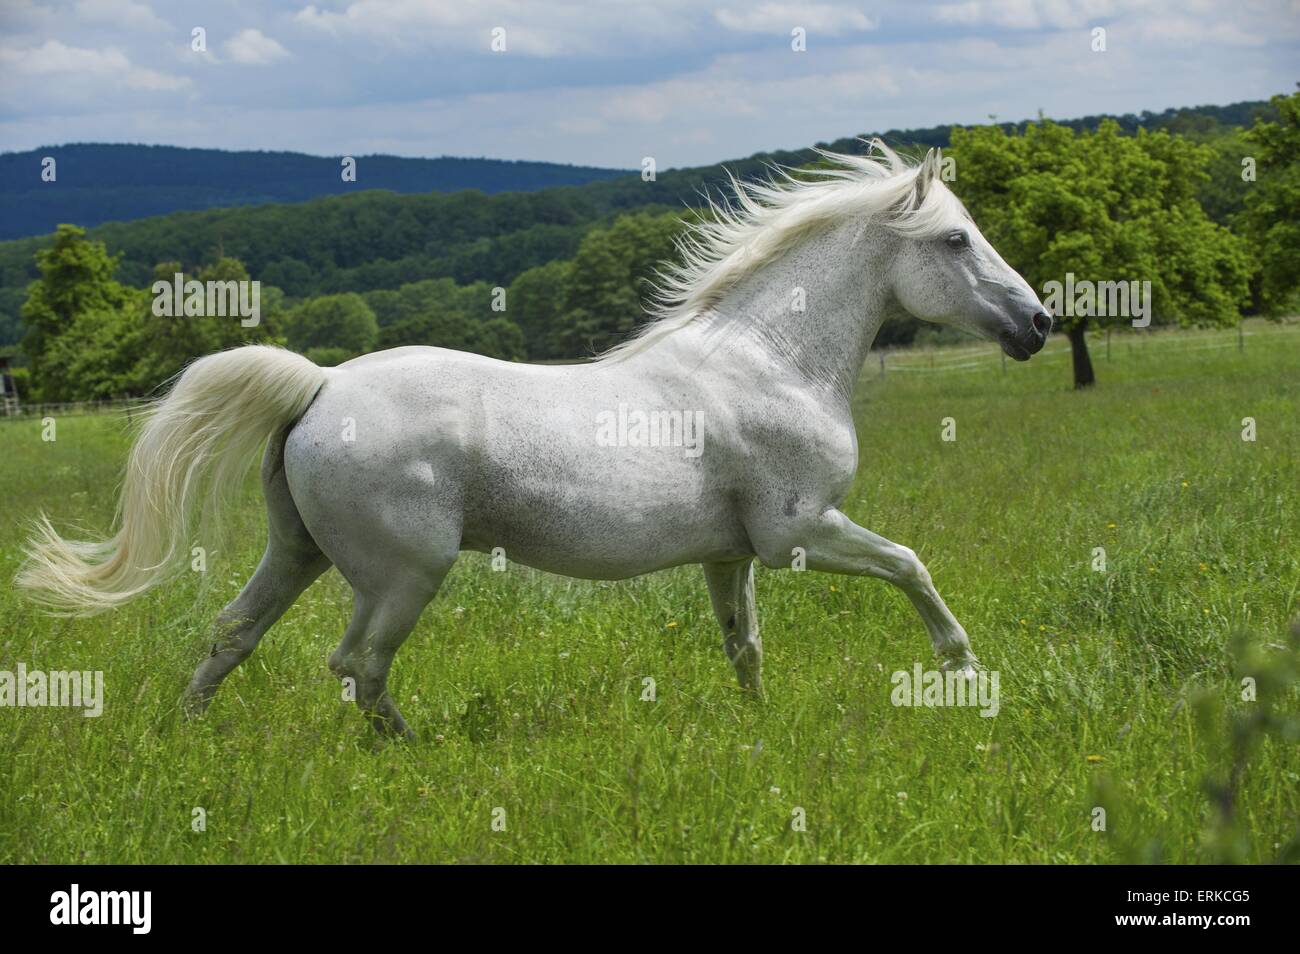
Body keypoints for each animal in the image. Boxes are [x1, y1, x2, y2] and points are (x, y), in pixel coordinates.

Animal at [17, 144, 1052, 738]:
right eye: (956, 240)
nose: (1039, 325)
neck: (771, 360)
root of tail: (318, 387)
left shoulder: (733, 554)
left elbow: (744, 647)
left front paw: (760, 732)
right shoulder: (800, 532)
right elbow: (912, 564)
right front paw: (963, 672)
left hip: (299, 550)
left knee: (234, 632)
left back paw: (184, 741)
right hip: (403, 573)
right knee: (357, 666)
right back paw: (414, 752)